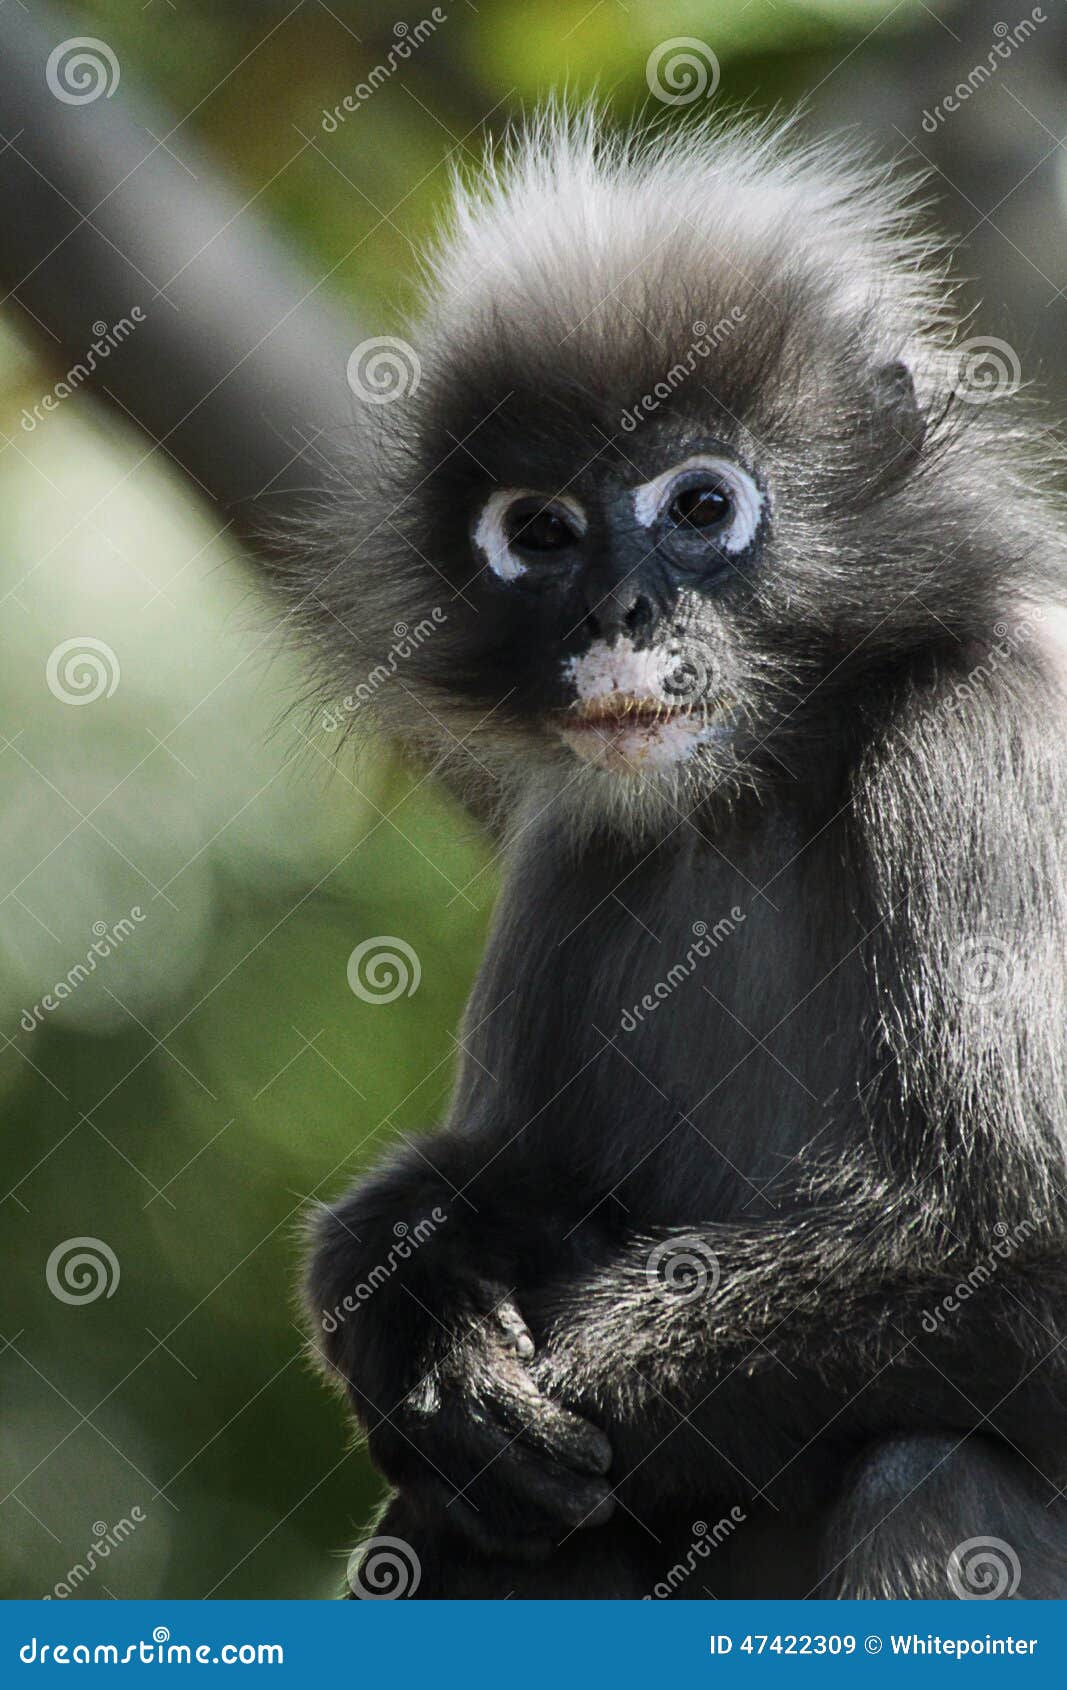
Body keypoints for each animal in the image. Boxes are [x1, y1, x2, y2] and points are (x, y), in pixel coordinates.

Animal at [290, 109, 1067, 1599]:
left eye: (699, 505)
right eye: (538, 533)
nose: (617, 611)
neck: (762, 779)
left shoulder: (992, 733)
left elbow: (1027, 1243)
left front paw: (541, 1380)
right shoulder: (571, 846)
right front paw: (417, 1313)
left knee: (925, 1470)